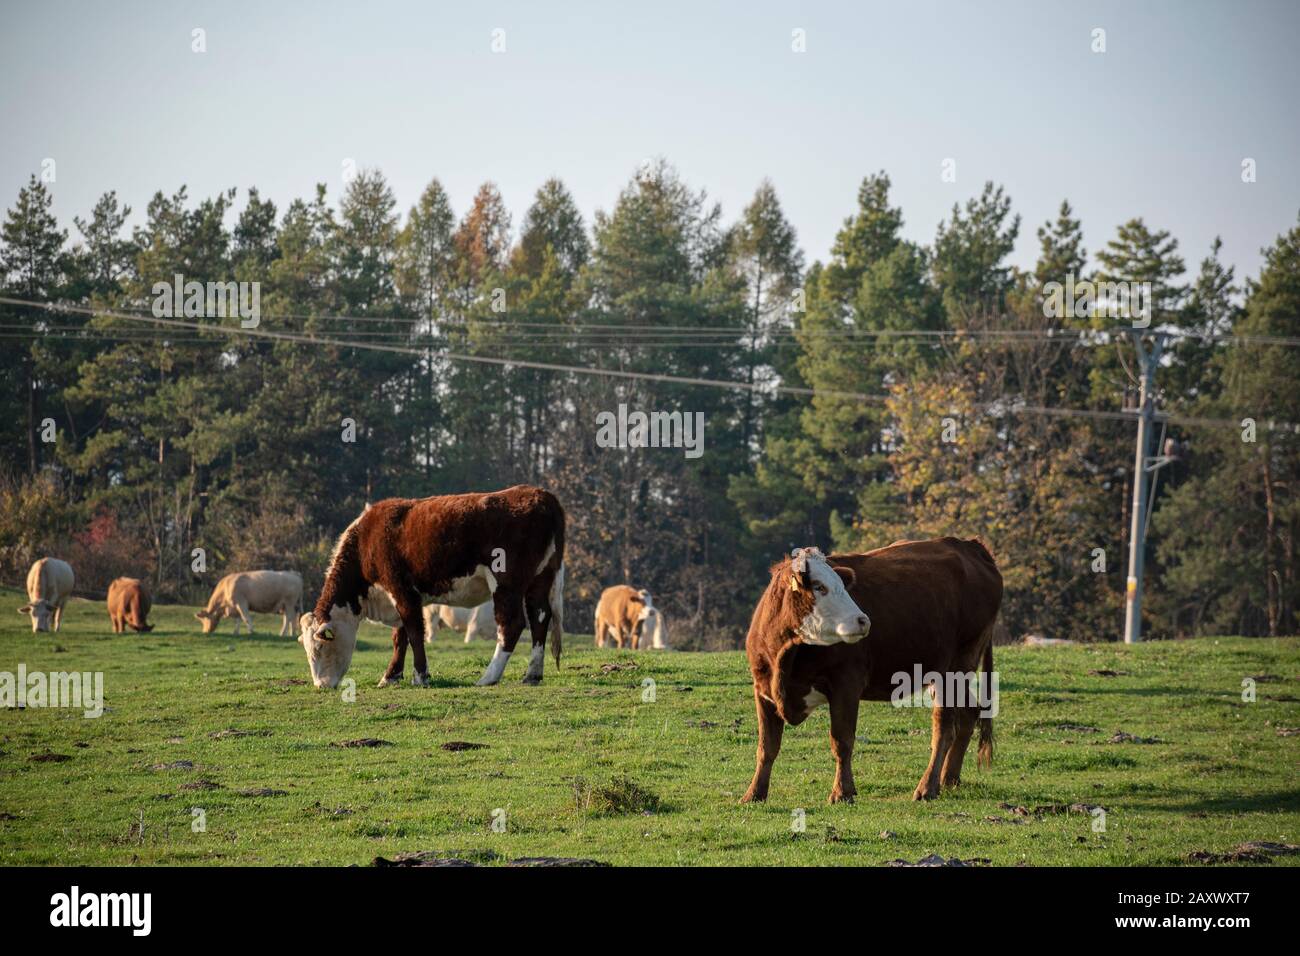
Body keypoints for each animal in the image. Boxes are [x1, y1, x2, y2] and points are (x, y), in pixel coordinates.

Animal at [298, 484, 565, 690]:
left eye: (319, 648)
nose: (320, 685)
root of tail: (539, 494)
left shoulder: (401, 590)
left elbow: (415, 633)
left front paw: (420, 676)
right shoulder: (404, 598)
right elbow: (400, 637)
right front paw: (390, 677)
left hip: (505, 582)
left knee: (512, 625)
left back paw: (488, 677)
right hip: (541, 577)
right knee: (540, 618)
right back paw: (532, 675)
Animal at [741, 538, 1002, 805]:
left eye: (843, 587)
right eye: (819, 587)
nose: (862, 620)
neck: (786, 655)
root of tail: (969, 546)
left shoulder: (846, 684)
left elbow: (842, 741)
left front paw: (842, 791)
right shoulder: (763, 690)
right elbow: (767, 746)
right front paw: (754, 793)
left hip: (955, 667)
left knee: (944, 728)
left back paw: (928, 786)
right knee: (969, 713)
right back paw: (948, 778)